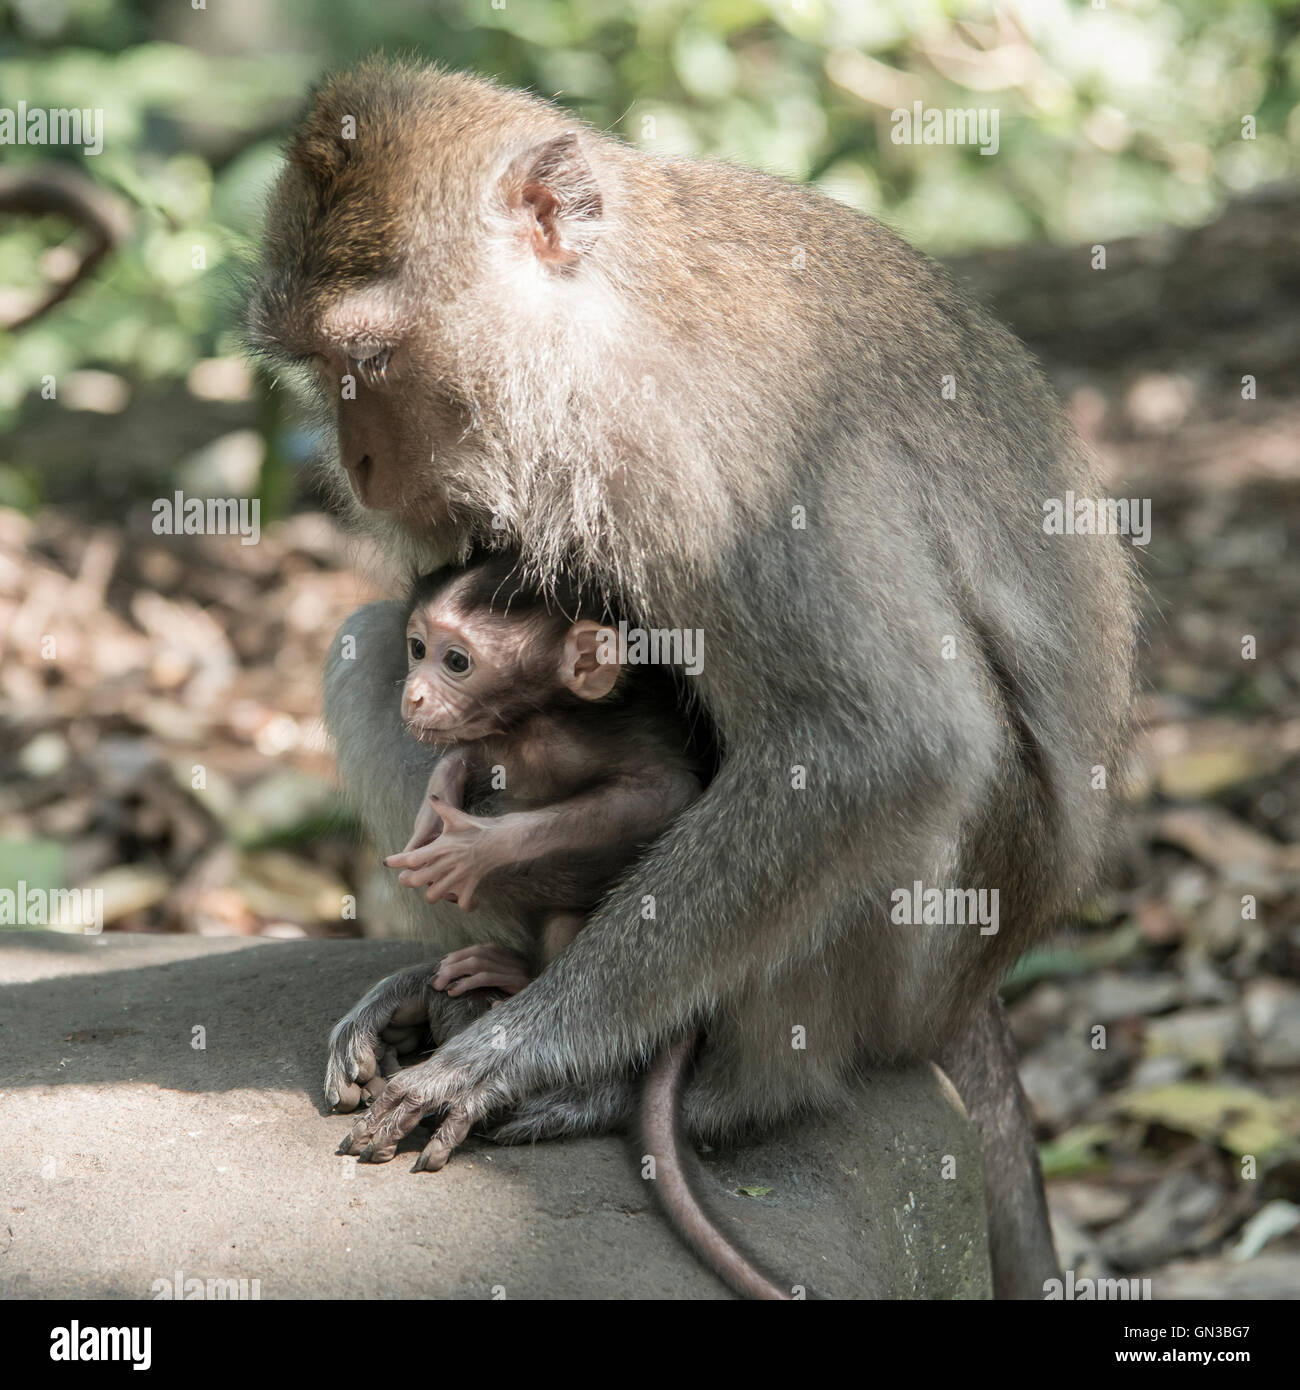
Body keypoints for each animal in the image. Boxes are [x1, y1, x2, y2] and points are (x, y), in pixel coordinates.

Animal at [246, 58, 1135, 1300]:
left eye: (366, 360)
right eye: (318, 370)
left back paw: (706, 1089)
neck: (608, 321)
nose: (359, 461)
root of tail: (981, 993)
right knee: (364, 639)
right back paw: (459, 979)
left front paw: (517, 1056)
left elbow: (882, 741)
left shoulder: (721, 460)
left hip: (919, 966)